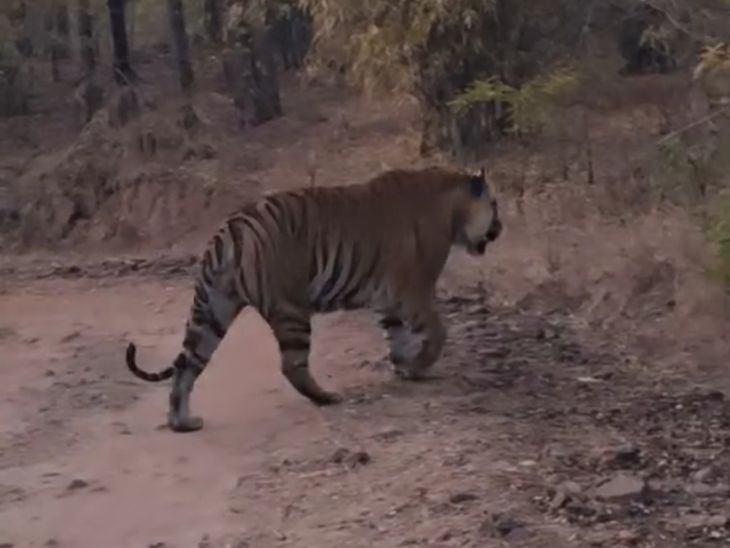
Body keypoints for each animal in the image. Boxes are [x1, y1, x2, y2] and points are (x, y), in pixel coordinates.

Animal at [125, 166, 503, 433]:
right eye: (495, 206)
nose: (500, 229)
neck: (451, 207)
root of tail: (231, 227)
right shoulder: (412, 291)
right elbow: (436, 332)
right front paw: (420, 365)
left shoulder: (388, 299)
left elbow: (397, 336)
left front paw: (406, 368)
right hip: (290, 308)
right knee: (291, 365)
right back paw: (327, 397)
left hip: (213, 310)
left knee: (187, 366)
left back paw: (182, 423)